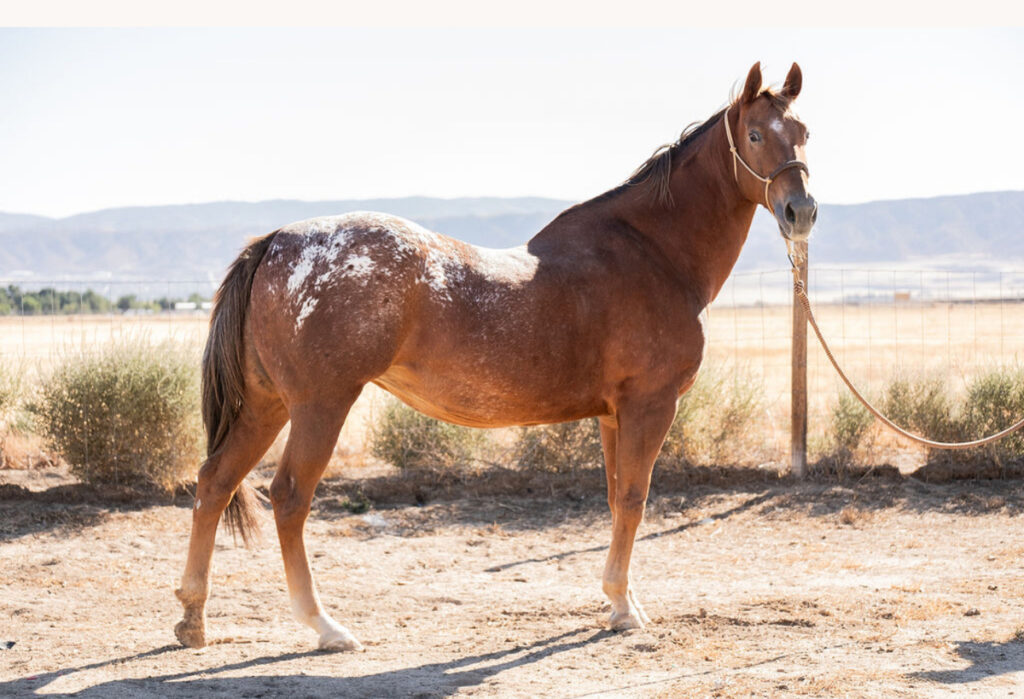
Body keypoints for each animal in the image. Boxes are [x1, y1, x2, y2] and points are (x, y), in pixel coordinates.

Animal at [175, 61, 816, 652]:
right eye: (754, 135)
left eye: (804, 131)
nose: (801, 211)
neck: (653, 252)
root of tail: (277, 242)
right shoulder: (649, 407)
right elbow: (634, 500)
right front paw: (624, 610)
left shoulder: (613, 415)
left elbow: (616, 500)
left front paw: (620, 601)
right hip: (320, 405)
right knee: (289, 497)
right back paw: (325, 626)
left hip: (267, 405)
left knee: (215, 482)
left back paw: (193, 618)